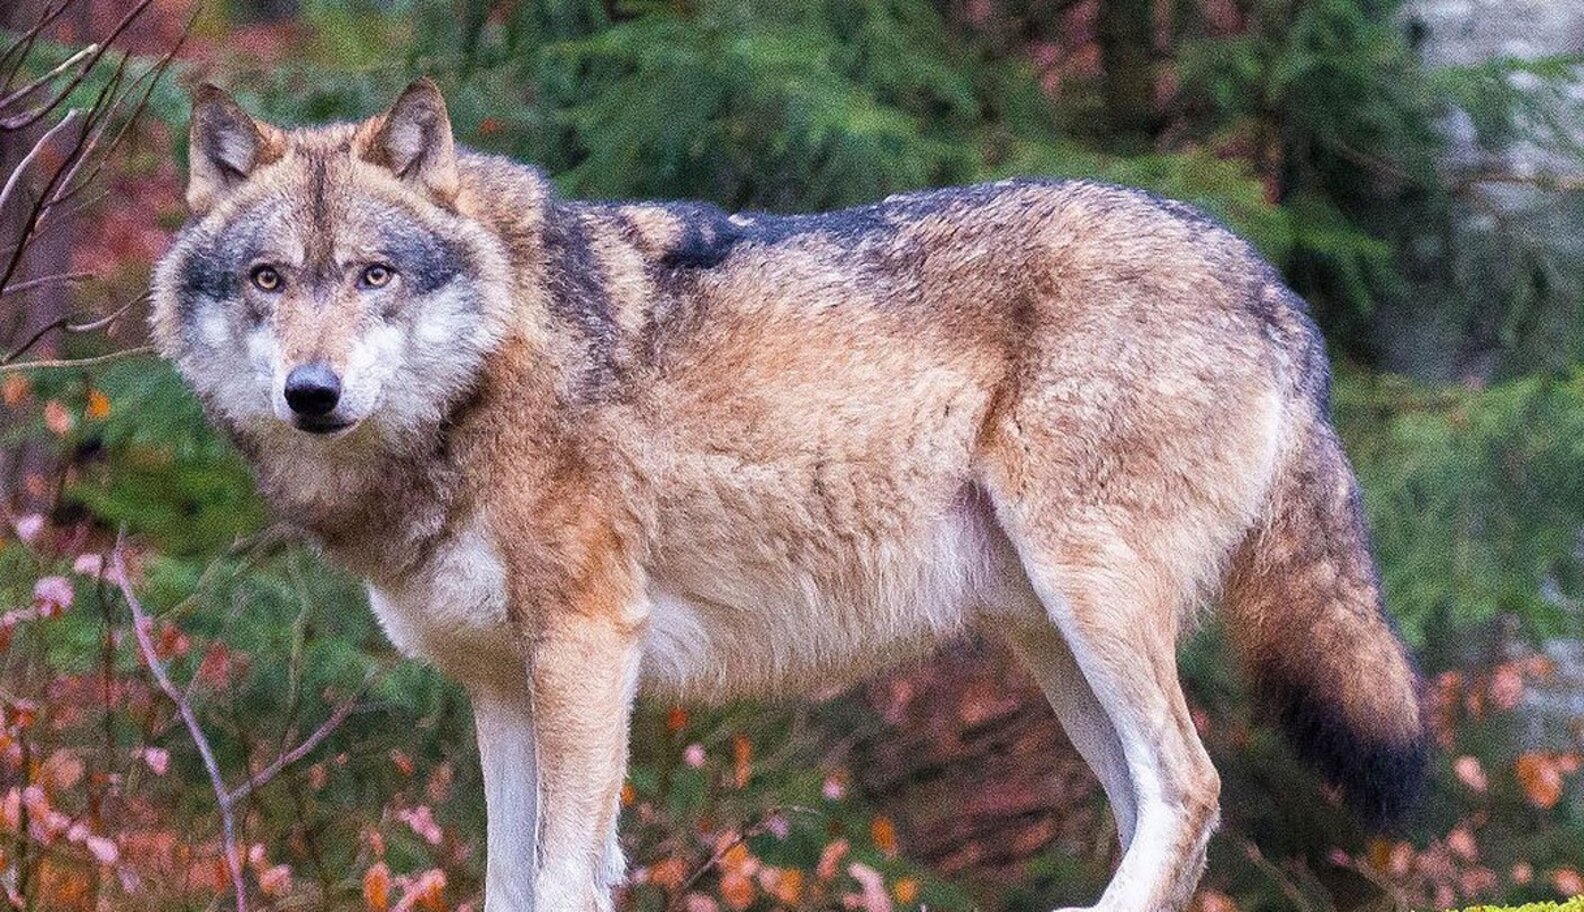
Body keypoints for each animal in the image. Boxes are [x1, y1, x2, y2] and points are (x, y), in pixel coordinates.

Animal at [151, 79, 1427, 911]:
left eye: (374, 276)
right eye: (269, 280)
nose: (313, 393)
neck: (481, 382)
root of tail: (1273, 284)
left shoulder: (587, 646)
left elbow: (564, 874)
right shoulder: (500, 685)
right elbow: (507, 884)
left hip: (1092, 601)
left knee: (1192, 789)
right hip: (1051, 640)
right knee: (1156, 808)